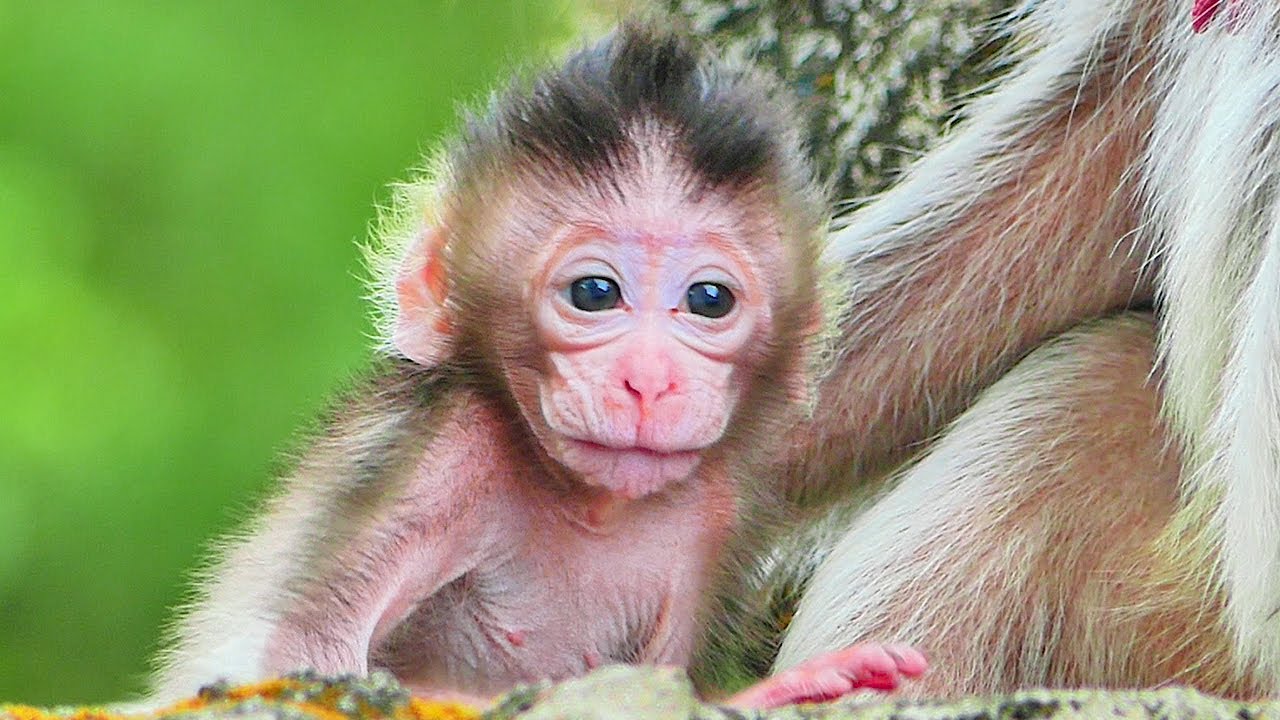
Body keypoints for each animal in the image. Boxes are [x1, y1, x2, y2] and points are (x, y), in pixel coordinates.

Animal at [146, 23, 927, 709]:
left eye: (709, 300)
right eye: (594, 293)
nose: (650, 380)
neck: (589, 508)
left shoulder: (716, 512)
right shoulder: (452, 453)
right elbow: (301, 656)